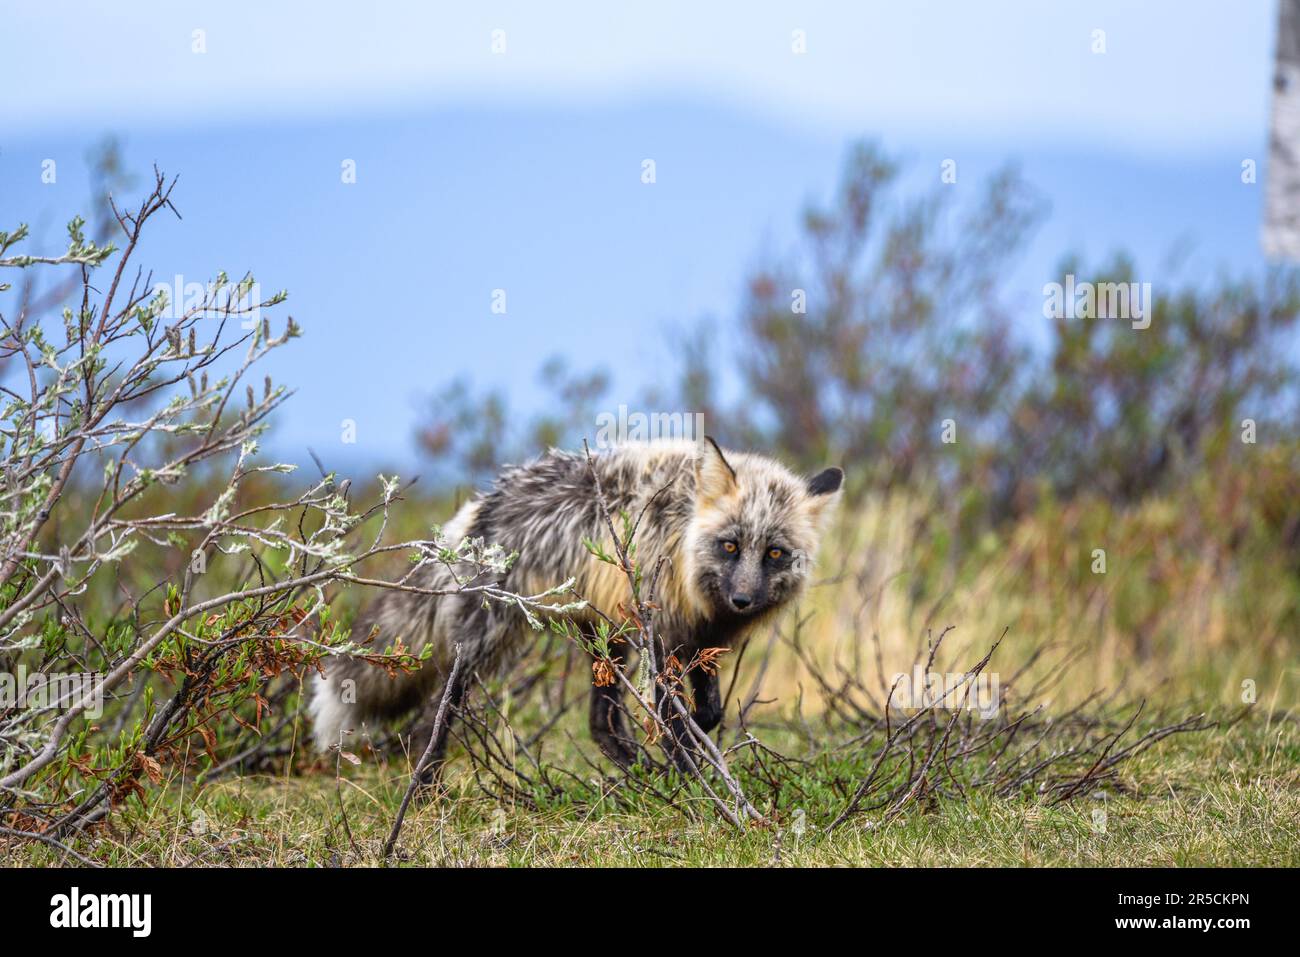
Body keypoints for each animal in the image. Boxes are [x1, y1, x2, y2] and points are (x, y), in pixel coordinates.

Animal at [309, 436, 843, 772]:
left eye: (774, 553)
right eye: (730, 546)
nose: (742, 600)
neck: (680, 538)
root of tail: (485, 501)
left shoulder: (700, 639)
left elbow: (707, 712)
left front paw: (686, 760)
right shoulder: (662, 637)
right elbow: (674, 723)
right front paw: (694, 784)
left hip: (605, 641)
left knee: (599, 725)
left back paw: (639, 774)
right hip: (484, 647)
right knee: (429, 725)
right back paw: (424, 792)